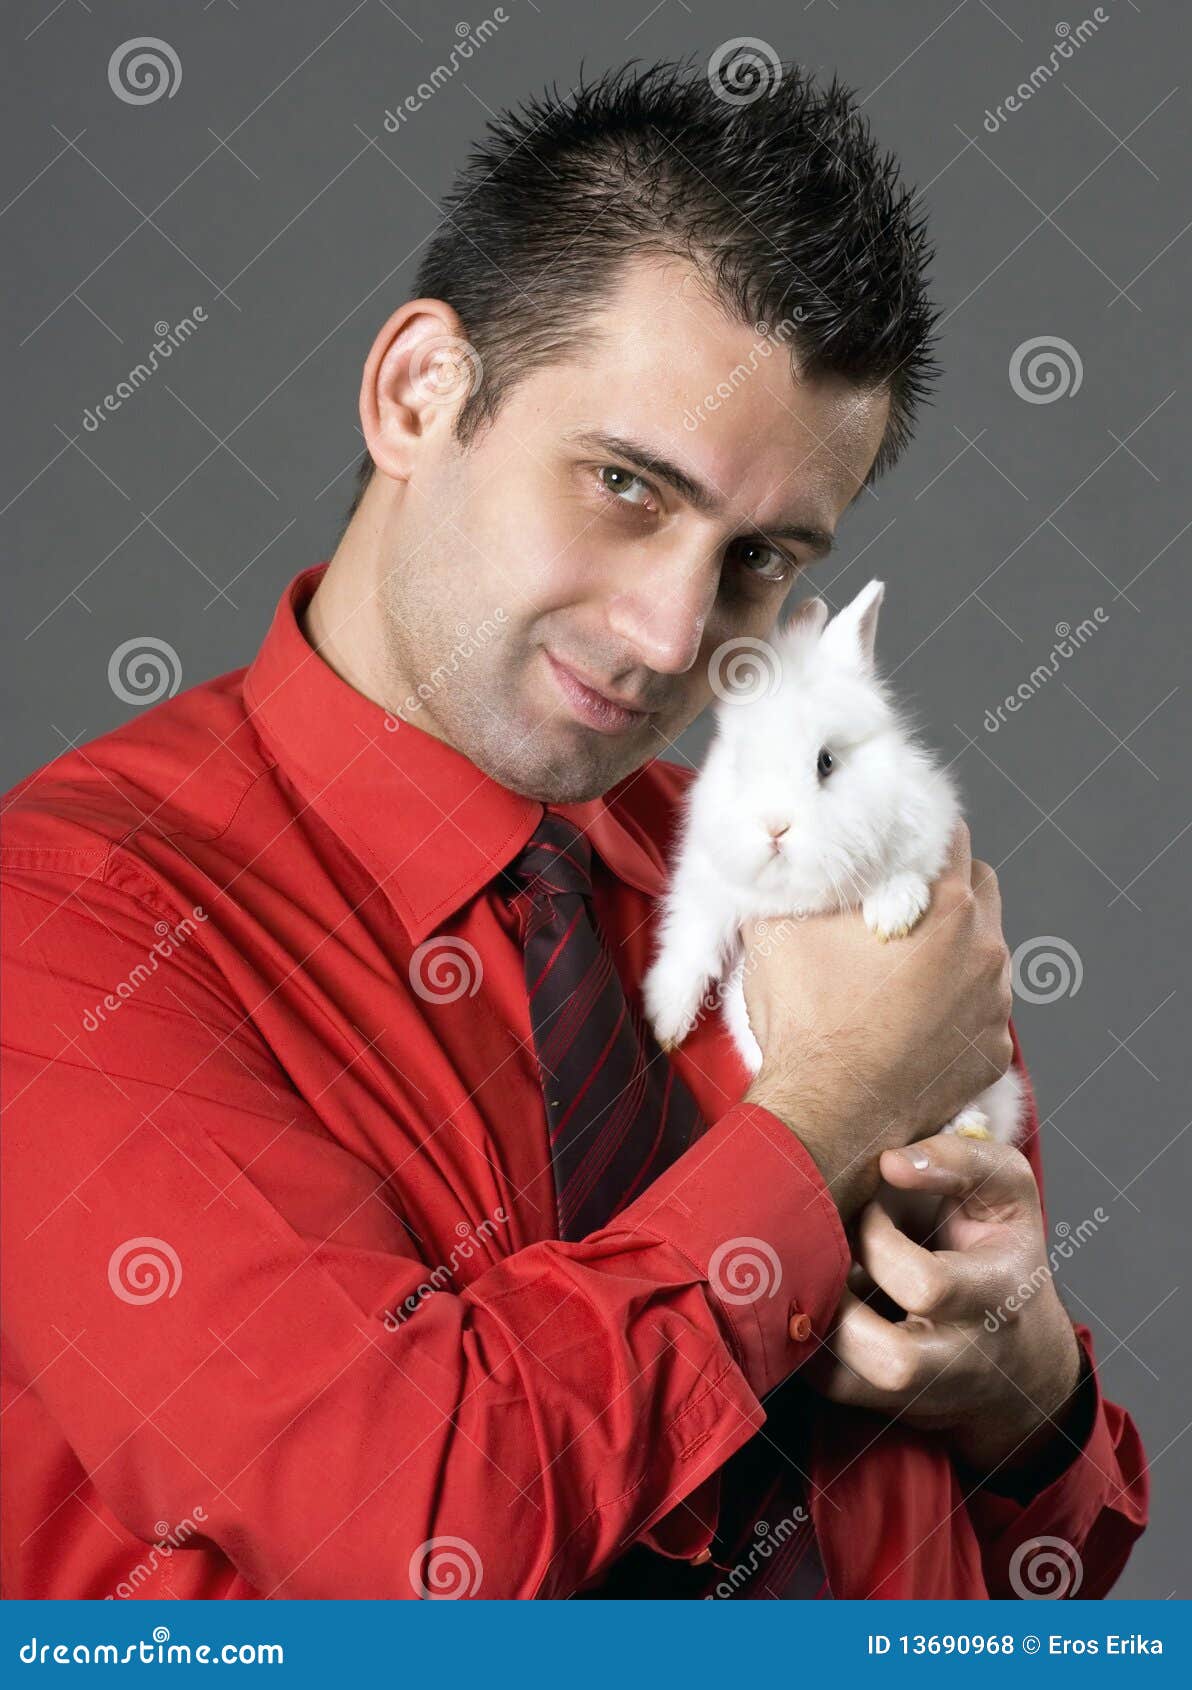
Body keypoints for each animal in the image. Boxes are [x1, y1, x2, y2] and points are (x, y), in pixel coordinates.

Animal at [643, 579, 1023, 1146]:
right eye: (739, 761)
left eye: (826, 762)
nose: (775, 826)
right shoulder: (706, 886)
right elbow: (692, 944)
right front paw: (666, 1021)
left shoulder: (929, 835)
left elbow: (905, 871)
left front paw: (893, 913)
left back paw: (968, 1128)